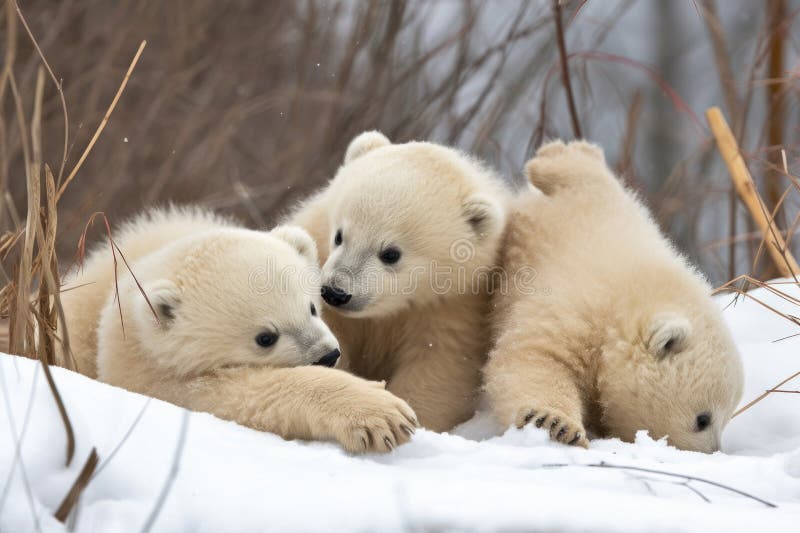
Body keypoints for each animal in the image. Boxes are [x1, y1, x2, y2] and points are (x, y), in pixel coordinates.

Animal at [58, 206, 417, 453]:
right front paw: (382, 415)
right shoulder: (156, 381)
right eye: (265, 338)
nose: (327, 355)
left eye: (311, 307)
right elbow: (244, 396)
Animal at [483, 140, 744, 453]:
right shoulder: (574, 309)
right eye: (703, 418)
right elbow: (535, 358)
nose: (714, 451)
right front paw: (556, 424)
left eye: (726, 417)